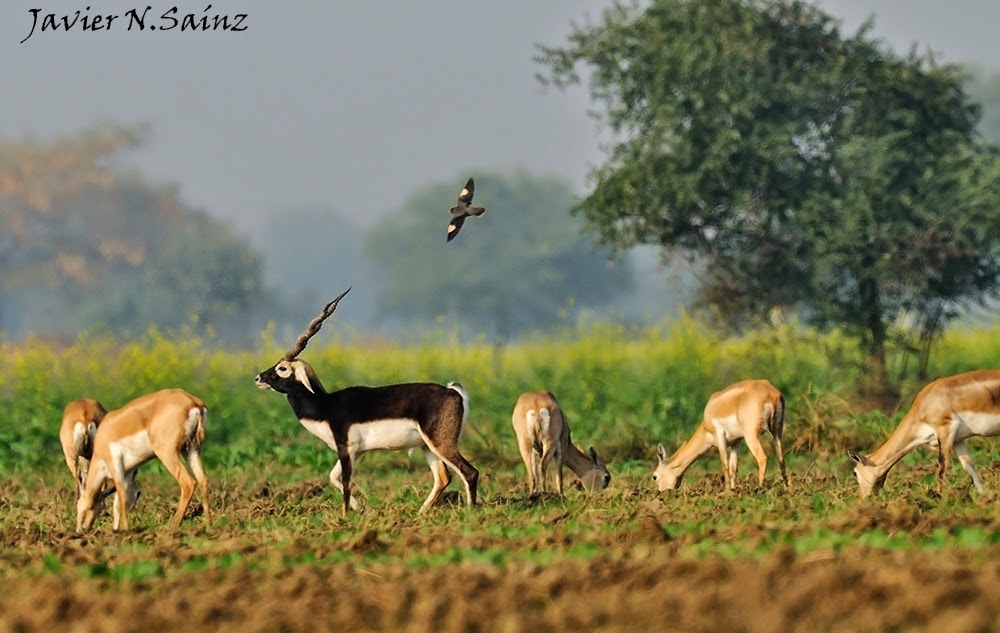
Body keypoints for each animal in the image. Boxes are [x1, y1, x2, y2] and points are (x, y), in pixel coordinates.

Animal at [76, 389, 209, 532]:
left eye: (79, 506)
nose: (79, 531)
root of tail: (193, 402)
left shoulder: (115, 466)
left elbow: (121, 498)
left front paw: (124, 530)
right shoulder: (127, 473)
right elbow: (119, 502)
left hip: (168, 453)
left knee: (188, 482)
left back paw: (171, 527)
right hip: (191, 449)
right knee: (203, 479)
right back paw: (208, 525)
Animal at [254, 288, 480, 514]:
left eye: (282, 368)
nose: (258, 378)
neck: (325, 406)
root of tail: (453, 392)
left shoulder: (346, 448)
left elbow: (346, 483)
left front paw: (345, 516)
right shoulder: (356, 452)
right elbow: (333, 477)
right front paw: (360, 508)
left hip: (441, 443)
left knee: (470, 472)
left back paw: (470, 513)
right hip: (427, 446)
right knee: (443, 477)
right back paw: (420, 513)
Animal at [653, 379, 787, 491]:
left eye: (655, 476)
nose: (661, 494)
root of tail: (771, 393)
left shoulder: (719, 436)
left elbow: (724, 463)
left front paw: (727, 491)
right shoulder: (736, 441)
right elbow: (733, 467)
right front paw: (733, 490)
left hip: (751, 436)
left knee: (762, 458)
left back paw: (759, 488)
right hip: (777, 432)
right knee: (781, 458)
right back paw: (786, 488)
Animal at [849, 369, 1000, 498]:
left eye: (855, 473)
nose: (863, 497)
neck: (926, 403)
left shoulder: (945, 430)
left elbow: (942, 467)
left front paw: (938, 497)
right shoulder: (958, 440)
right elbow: (968, 465)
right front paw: (984, 496)